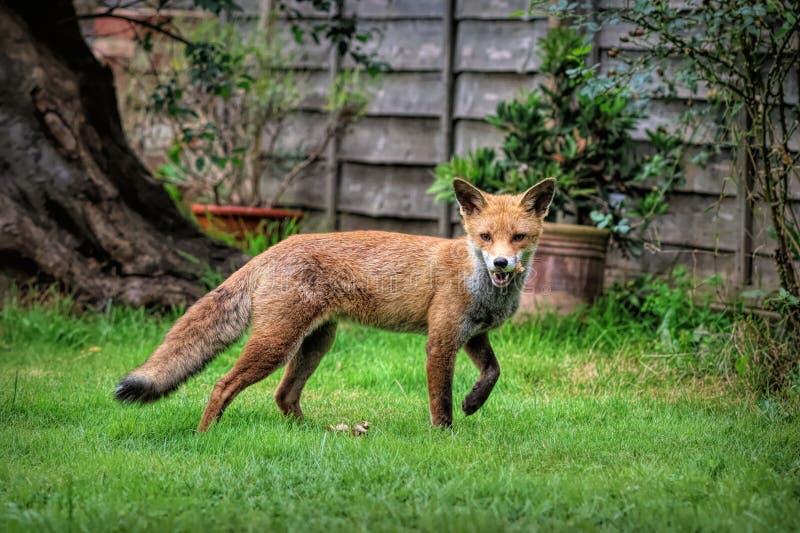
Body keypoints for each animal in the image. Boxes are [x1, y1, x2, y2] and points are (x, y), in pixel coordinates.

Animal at [115, 177, 556, 431]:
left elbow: (493, 373)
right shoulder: (441, 341)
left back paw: (313, 434)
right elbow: (441, 402)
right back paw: (206, 435)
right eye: (485, 237)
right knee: (223, 384)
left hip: (316, 343)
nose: (500, 263)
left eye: (518, 237)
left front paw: (473, 403)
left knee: (283, 395)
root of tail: (273, 248)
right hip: (277, 345)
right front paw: (444, 437)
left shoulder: (473, 334)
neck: (482, 284)